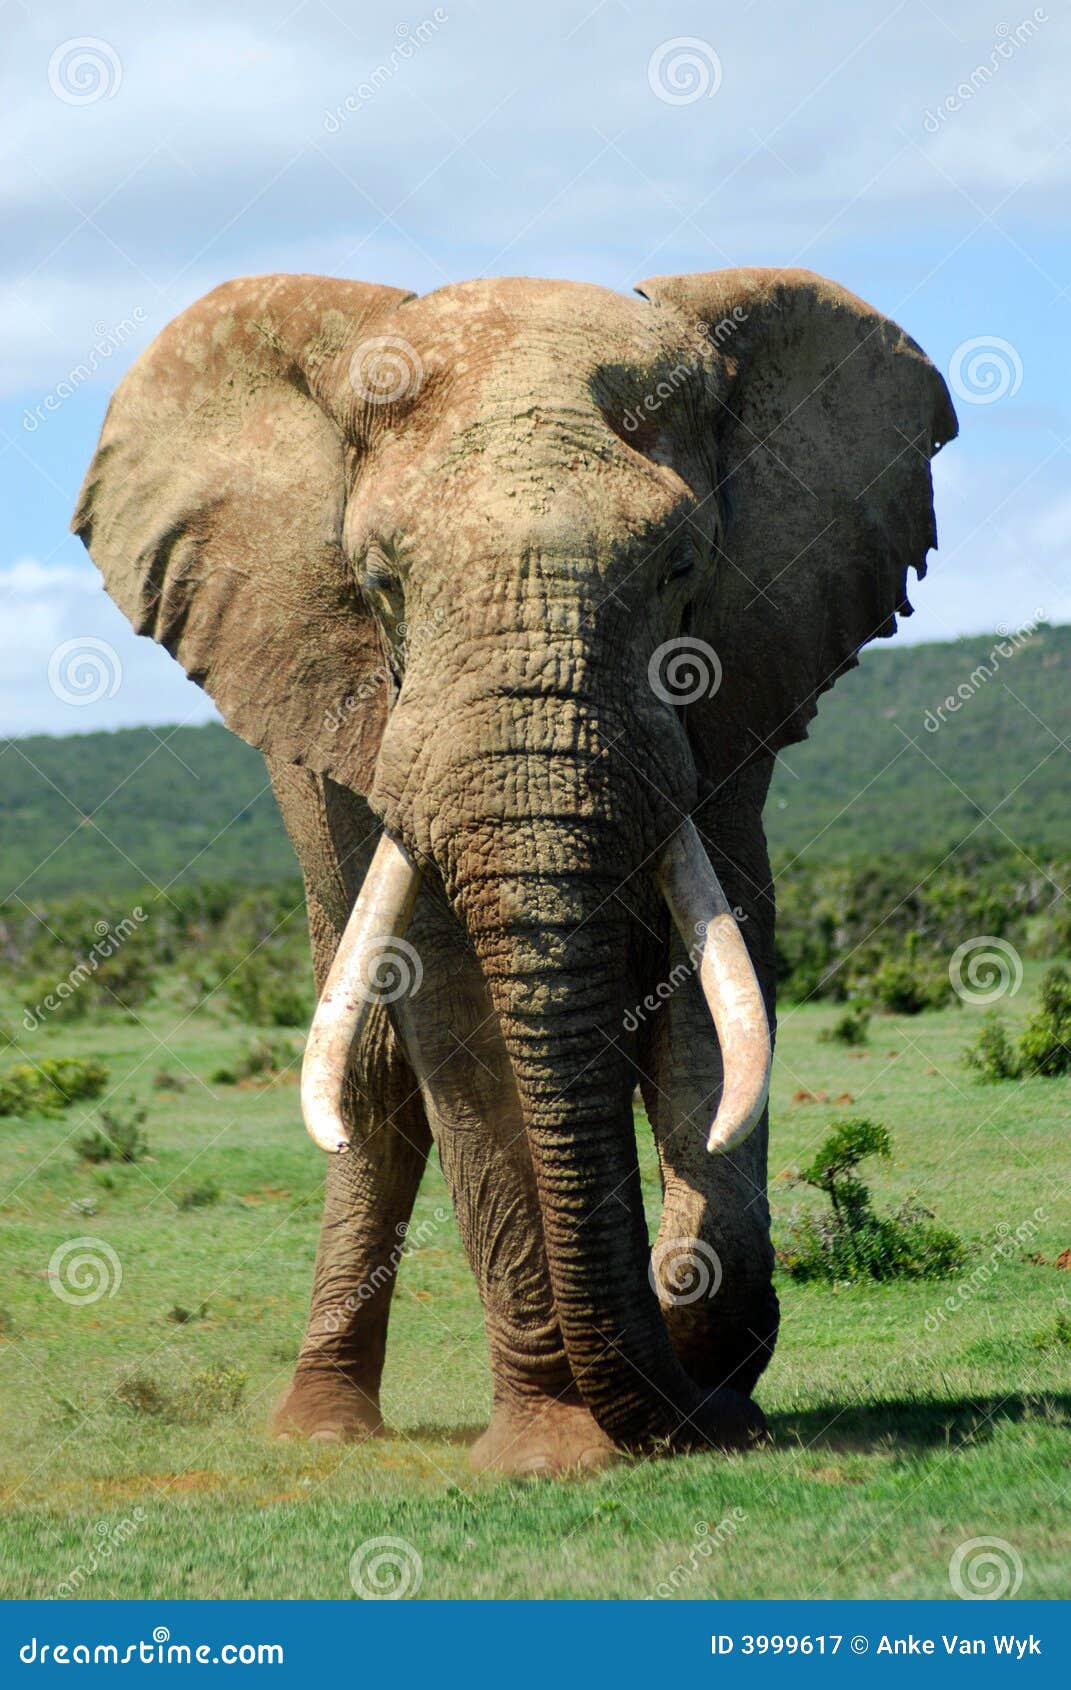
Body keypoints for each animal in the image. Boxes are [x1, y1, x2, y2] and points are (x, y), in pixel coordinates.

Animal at [73, 267, 956, 1476]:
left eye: (683, 569)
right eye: (380, 584)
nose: (673, 1404)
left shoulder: (730, 696)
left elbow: (717, 985)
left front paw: (709, 1378)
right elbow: (456, 1021)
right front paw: (552, 1447)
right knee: (370, 1078)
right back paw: (323, 1427)